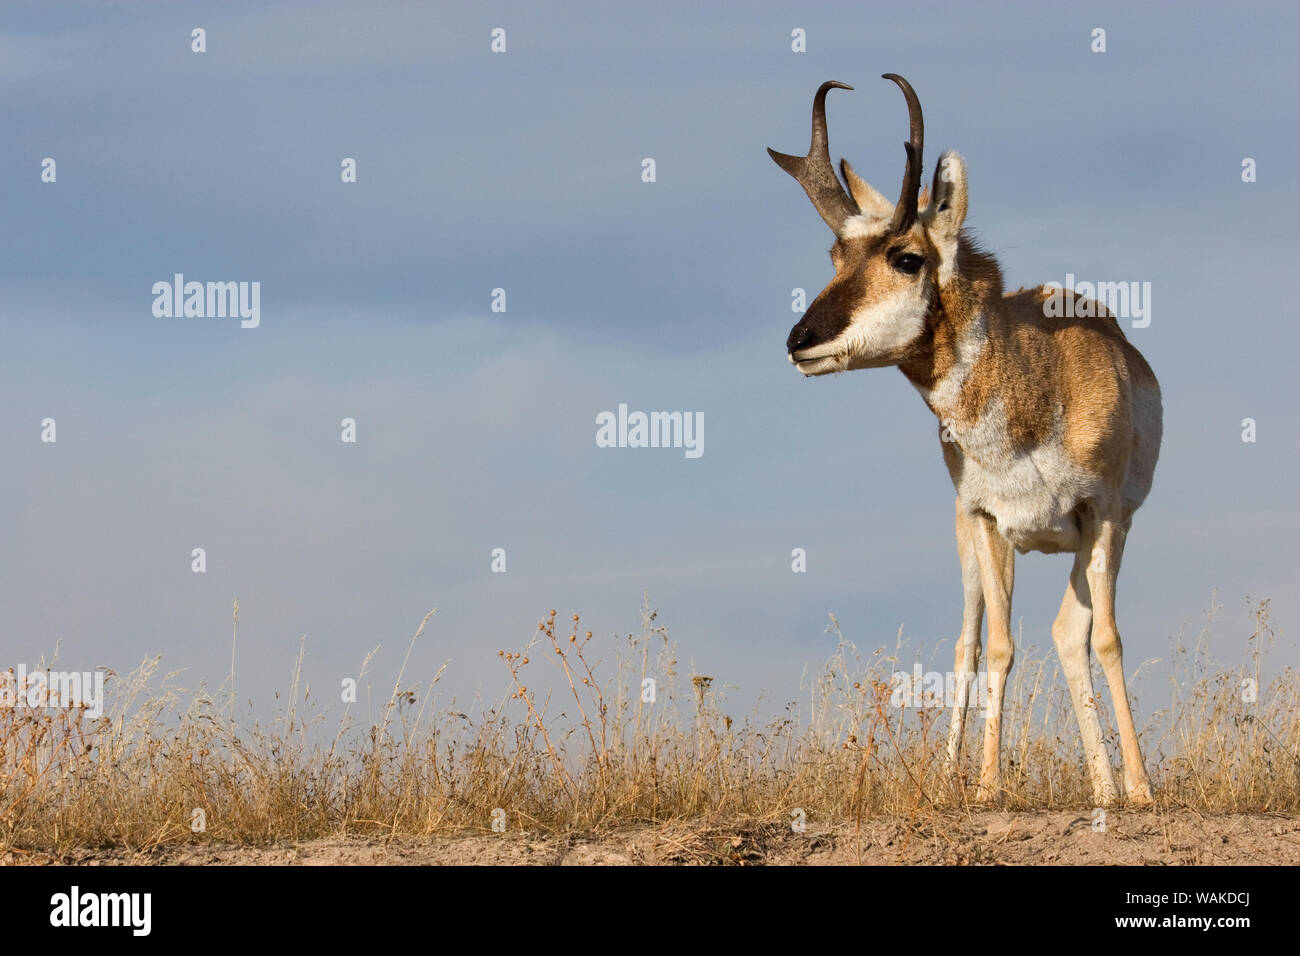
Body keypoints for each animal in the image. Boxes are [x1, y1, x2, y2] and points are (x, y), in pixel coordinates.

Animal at [770, 76, 1161, 806]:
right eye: (836, 255)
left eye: (906, 257)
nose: (799, 340)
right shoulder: (985, 519)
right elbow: (999, 645)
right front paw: (984, 788)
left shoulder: (1104, 516)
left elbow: (1107, 640)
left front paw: (1142, 790)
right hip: (970, 539)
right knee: (971, 639)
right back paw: (962, 774)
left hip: (1091, 538)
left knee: (1071, 633)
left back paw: (1106, 789)